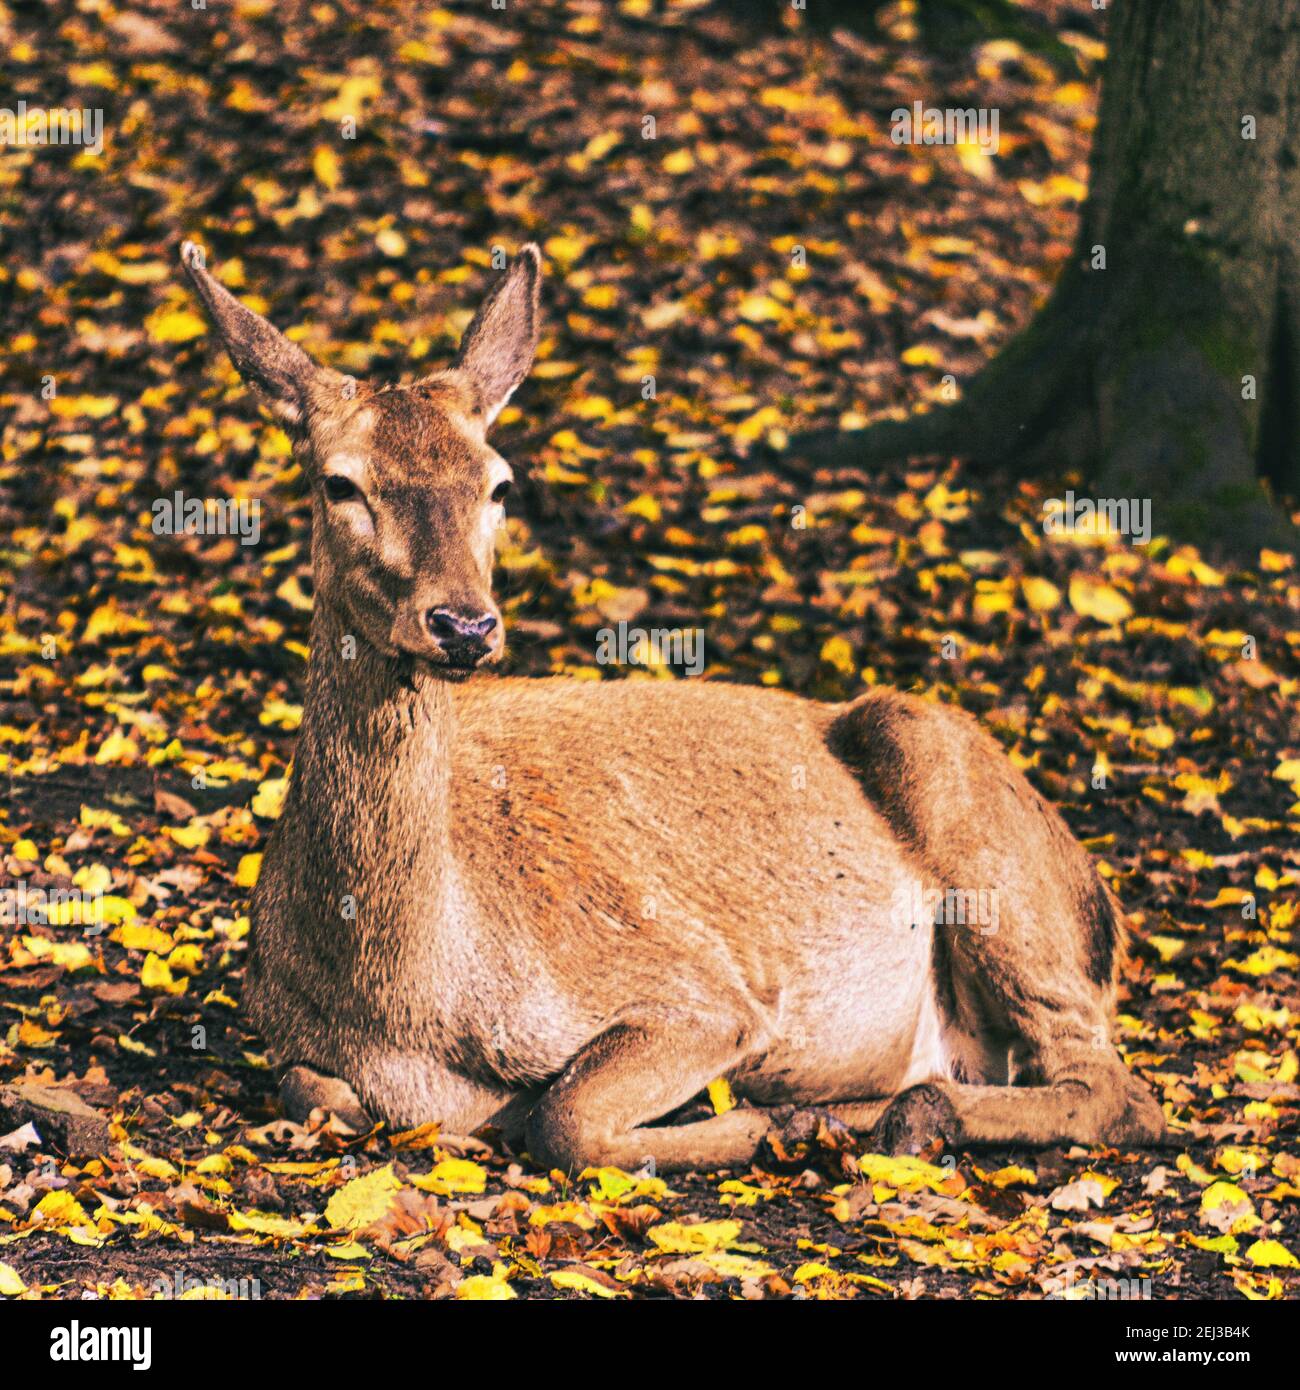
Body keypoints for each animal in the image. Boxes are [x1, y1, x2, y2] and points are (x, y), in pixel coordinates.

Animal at [179, 240, 1168, 1172]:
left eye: (499, 484)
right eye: (340, 482)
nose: (463, 624)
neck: (409, 1004)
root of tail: (1106, 913)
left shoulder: (698, 992)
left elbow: (565, 1114)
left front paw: (767, 1125)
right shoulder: (287, 1035)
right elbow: (313, 1088)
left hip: (974, 821)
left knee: (1119, 1091)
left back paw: (902, 1117)